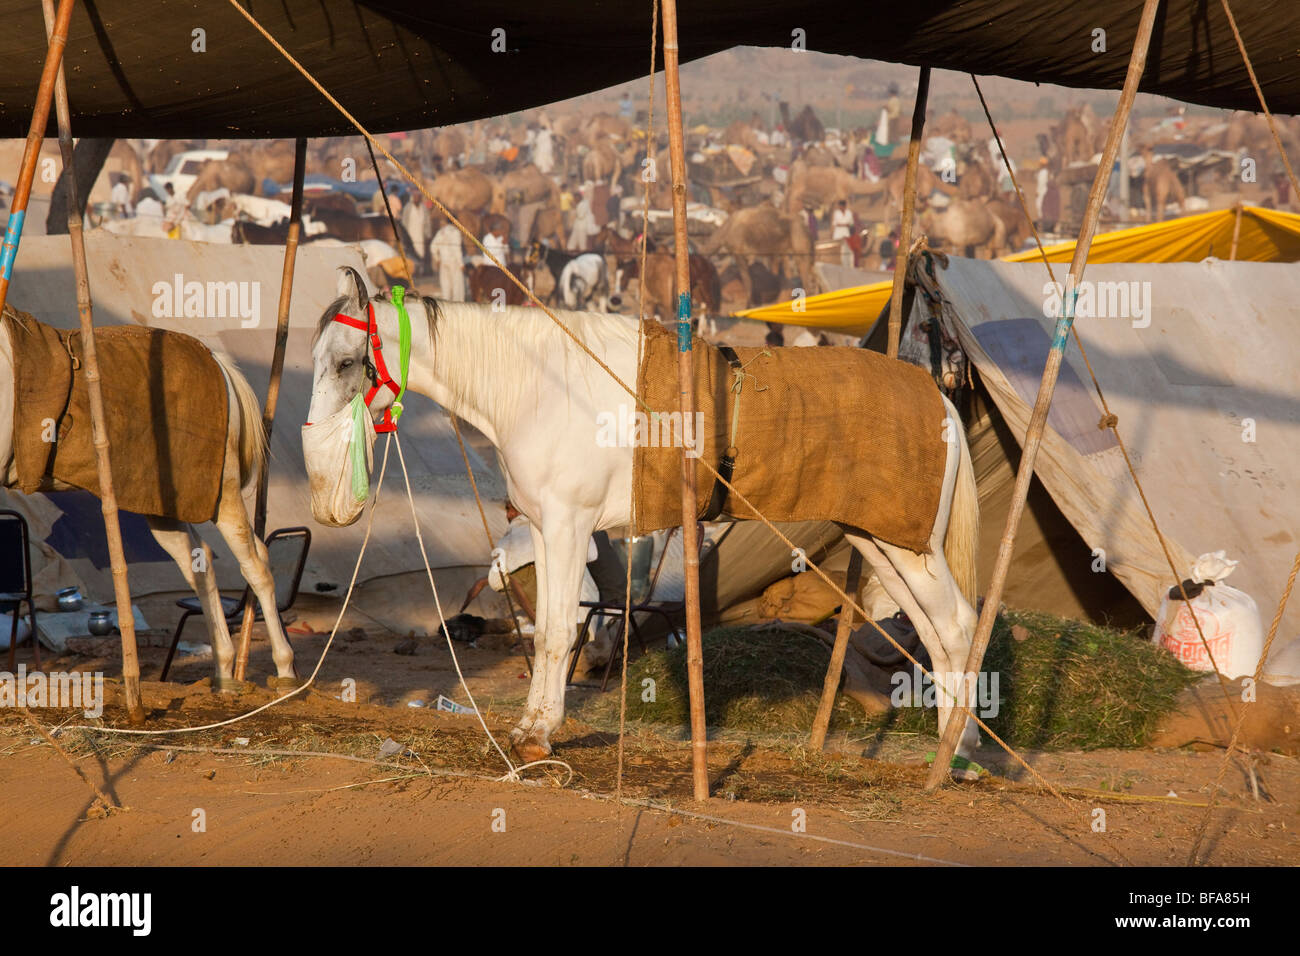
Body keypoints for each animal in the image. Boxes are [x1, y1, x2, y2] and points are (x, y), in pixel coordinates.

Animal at [0, 312, 298, 687]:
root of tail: (219, 364)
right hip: (164, 505)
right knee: (199, 563)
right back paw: (224, 673)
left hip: (224, 491)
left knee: (256, 563)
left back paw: (285, 671)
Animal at [306, 269, 981, 771]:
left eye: (344, 363)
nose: (316, 448)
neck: (540, 387)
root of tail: (941, 398)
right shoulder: (547, 531)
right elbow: (552, 630)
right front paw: (530, 726)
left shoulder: (570, 525)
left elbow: (558, 631)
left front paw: (538, 736)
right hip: (881, 542)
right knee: (936, 631)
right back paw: (954, 743)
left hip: (909, 547)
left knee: (956, 626)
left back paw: (957, 752)